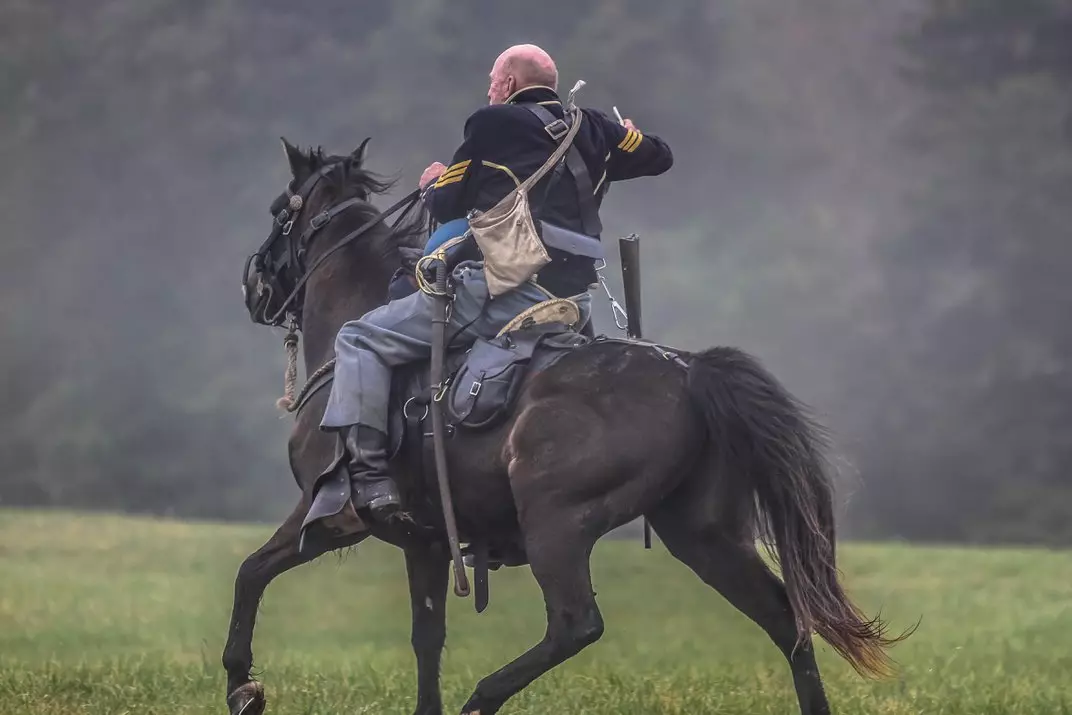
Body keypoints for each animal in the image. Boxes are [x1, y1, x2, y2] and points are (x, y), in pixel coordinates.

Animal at [224, 142, 904, 715]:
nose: (254, 287)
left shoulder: (331, 516)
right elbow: (426, 639)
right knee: (788, 622)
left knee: (577, 624)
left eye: (279, 211)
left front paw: (242, 688)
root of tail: (688, 370)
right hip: (703, 534)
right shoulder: (426, 542)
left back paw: (483, 699)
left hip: (557, 523)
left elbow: (251, 572)